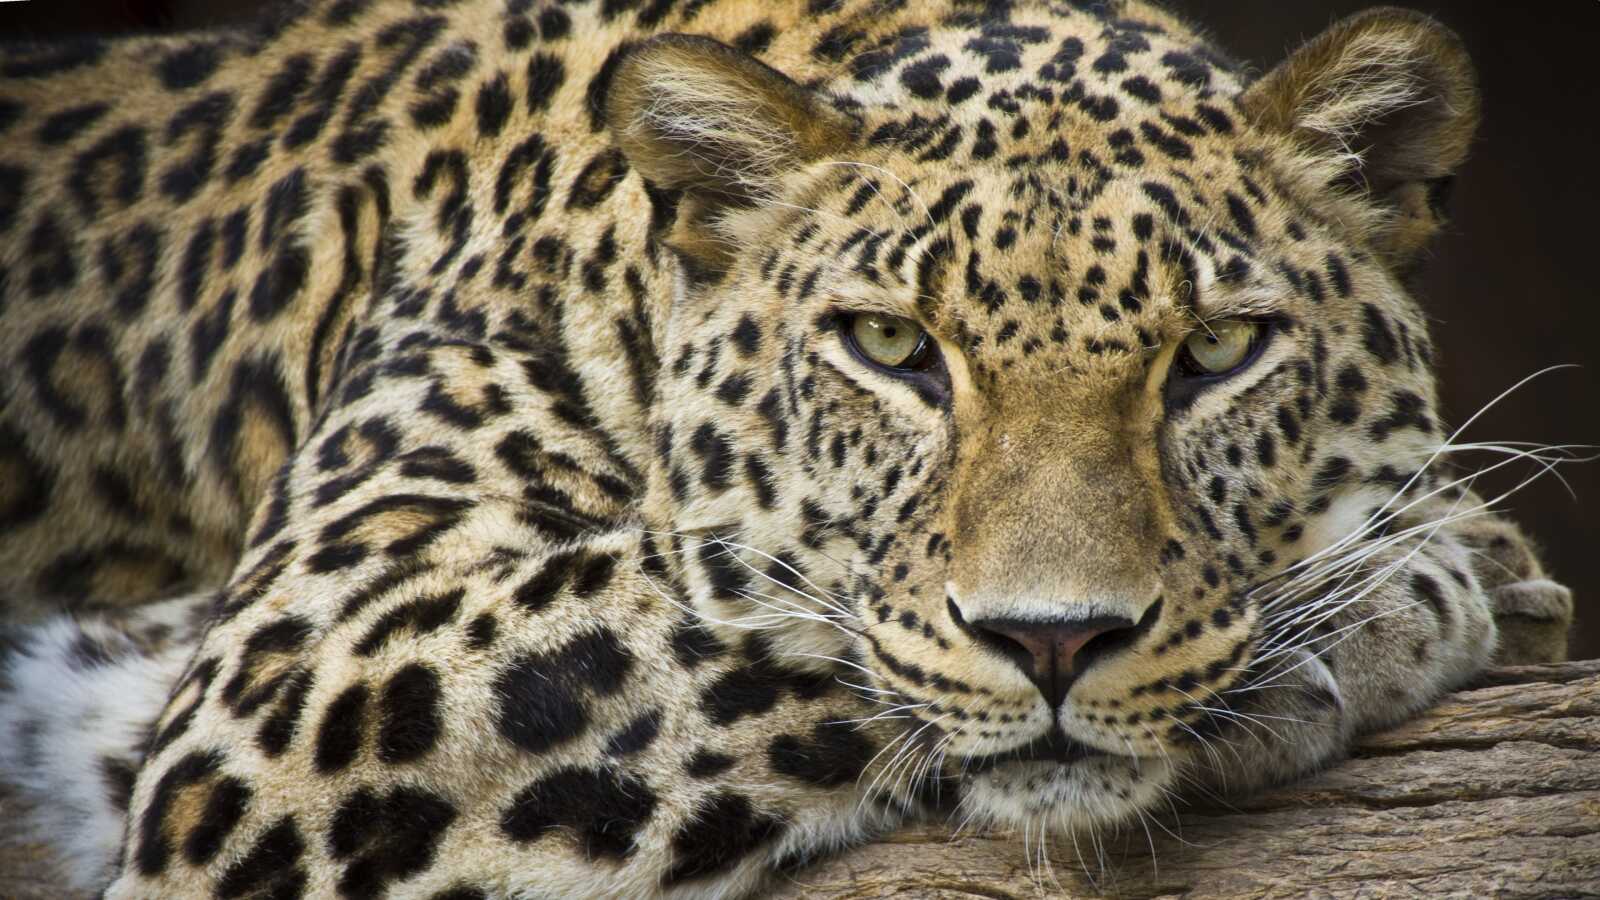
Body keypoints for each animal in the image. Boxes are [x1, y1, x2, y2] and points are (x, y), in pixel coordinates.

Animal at [0, 0, 1577, 897]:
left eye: (1215, 352)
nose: (1055, 642)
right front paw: (1414, 584)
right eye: (891, 348)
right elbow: (757, 620)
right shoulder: (296, 679)